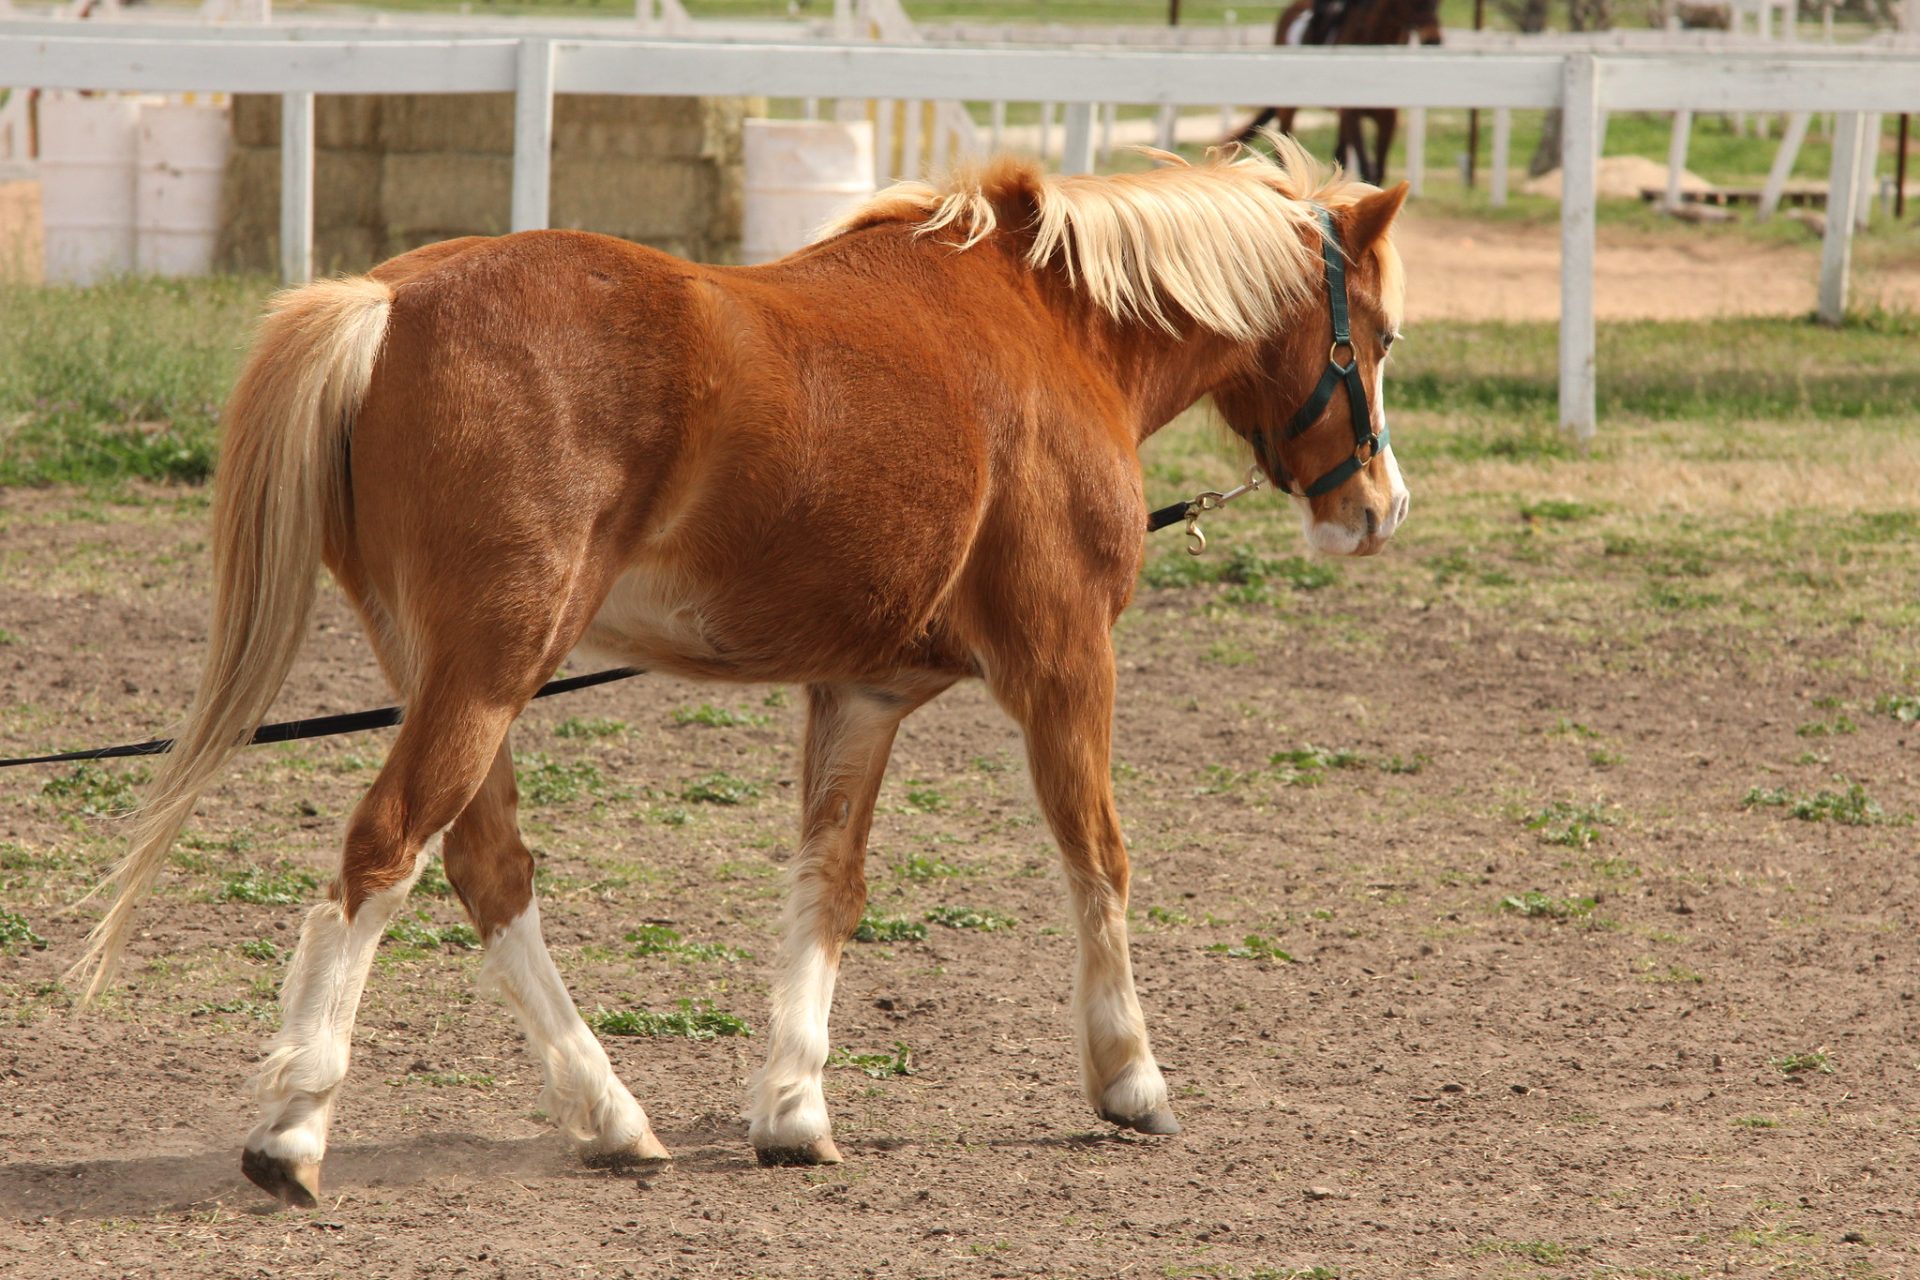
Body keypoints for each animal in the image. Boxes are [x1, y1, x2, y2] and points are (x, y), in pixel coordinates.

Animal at [70, 137, 1412, 1208]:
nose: (1379, 508)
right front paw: (1131, 1077)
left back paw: (611, 1115)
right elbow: (1099, 856)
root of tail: (386, 300)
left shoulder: (863, 693)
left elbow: (830, 885)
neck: (1052, 327)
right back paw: (295, 1127)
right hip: (491, 668)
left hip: (449, 669)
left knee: (484, 866)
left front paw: (793, 1109)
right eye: (1383, 335)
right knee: (385, 850)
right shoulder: (1065, 655)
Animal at [1229, 0, 1444, 186]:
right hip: (1289, 107)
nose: (1433, 40)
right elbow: (1366, 168)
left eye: (1437, 2)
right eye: (1413, 2)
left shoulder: (1387, 117)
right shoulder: (1351, 113)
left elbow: (1378, 170)